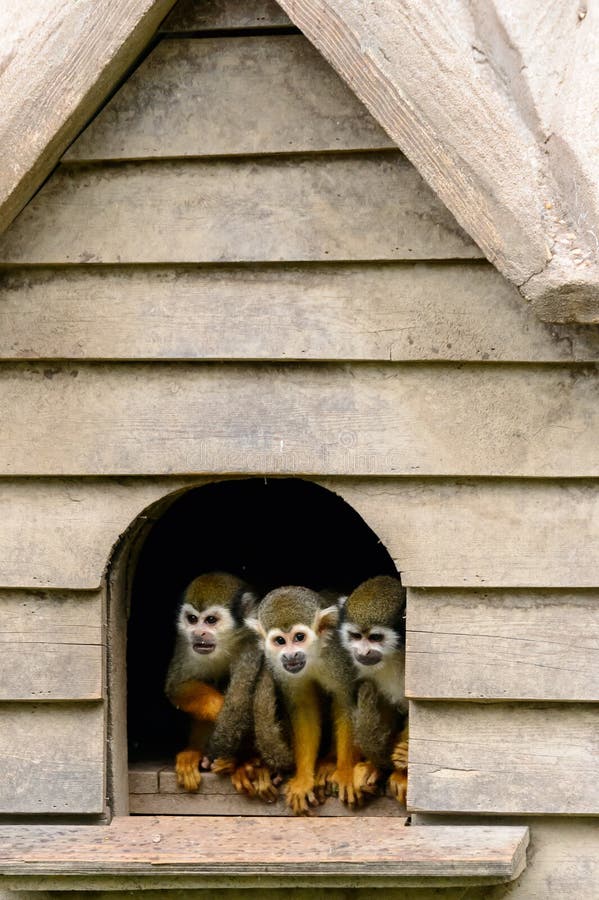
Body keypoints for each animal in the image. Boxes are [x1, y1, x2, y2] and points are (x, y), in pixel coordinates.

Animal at [165, 572, 276, 800]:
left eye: (211, 620)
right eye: (192, 619)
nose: (199, 633)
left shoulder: (253, 641)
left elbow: (240, 700)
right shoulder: (185, 642)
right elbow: (177, 686)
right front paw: (217, 708)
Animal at [247, 586, 361, 815]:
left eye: (299, 637)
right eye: (280, 641)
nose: (291, 656)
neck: (314, 656)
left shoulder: (339, 656)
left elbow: (345, 703)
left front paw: (345, 772)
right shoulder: (281, 668)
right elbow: (303, 709)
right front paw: (303, 779)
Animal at [338, 575, 409, 803]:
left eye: (375, 638)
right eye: (356, 636)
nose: (364, 652)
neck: (395, 655)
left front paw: (402, 769)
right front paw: (374, 765)